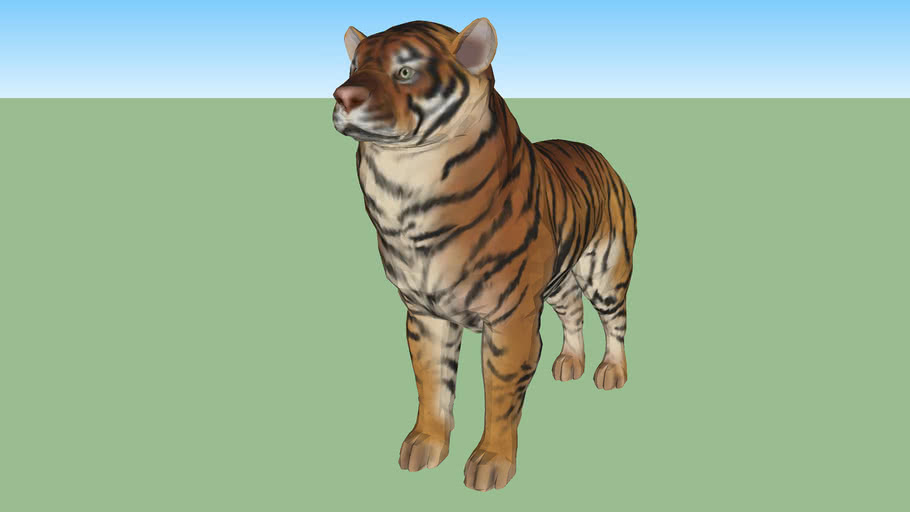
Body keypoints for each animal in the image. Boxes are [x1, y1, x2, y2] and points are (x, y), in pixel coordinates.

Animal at [331, 18, 638, 491]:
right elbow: (432, 385)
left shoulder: (511, 318)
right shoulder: (425, 314)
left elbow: (500, 393)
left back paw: (612, 372)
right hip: (558, 283)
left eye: (405, 71)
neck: (404, 184)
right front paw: (424, 445)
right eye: (354, 67)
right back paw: (570, 362)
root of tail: (595, 151)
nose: (343, 95)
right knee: (573, 313)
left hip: (606, 271)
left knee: (615, 321)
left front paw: (491, 463)